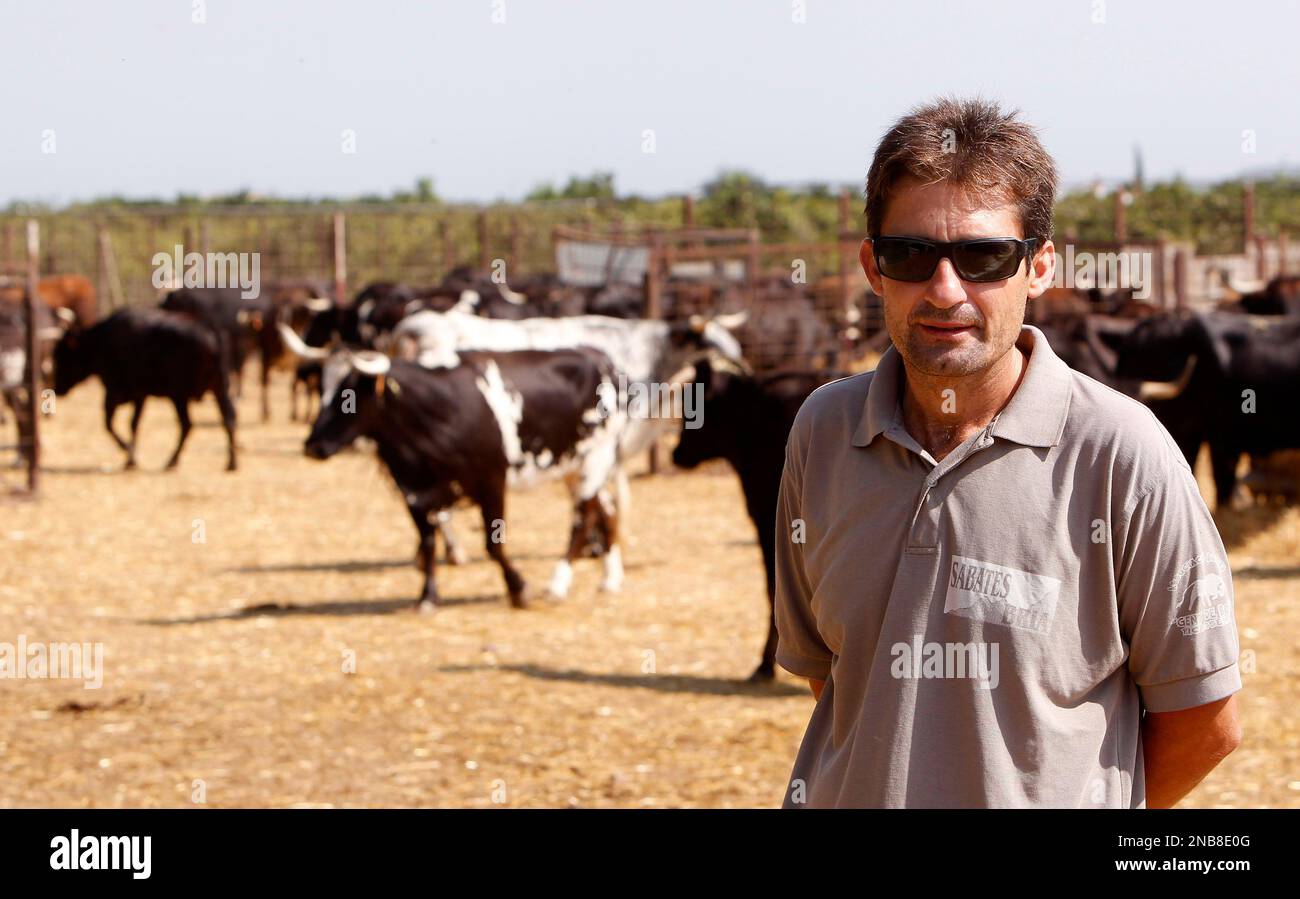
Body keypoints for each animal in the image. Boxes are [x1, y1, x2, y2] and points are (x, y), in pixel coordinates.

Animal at [52, 308, 237, 471]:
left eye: (62, 356)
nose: (57, 389)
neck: (100, 342)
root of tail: (211, 332)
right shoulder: (140, 396)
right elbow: (132, 424)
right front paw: (130, 458)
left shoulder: (114, 392)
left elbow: (110, 424)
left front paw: (127, 451)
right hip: (220, 390)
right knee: (228, 420)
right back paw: (231, 463)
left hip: (180, 396)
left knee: (187, 425)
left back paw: (172, 460)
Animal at [296, 341, 627, 609]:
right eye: (322, 388)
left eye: (348, 393)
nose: (313, 445)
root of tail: (599, 358)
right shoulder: (413, 491)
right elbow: (428, 543)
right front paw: (427, 596)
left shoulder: (491, 483)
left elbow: (494, 546)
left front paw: (518, 588)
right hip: (572, 466)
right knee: (607, 509)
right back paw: (610, 579)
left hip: (595, 459)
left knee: (583, 517)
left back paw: (559, 583)